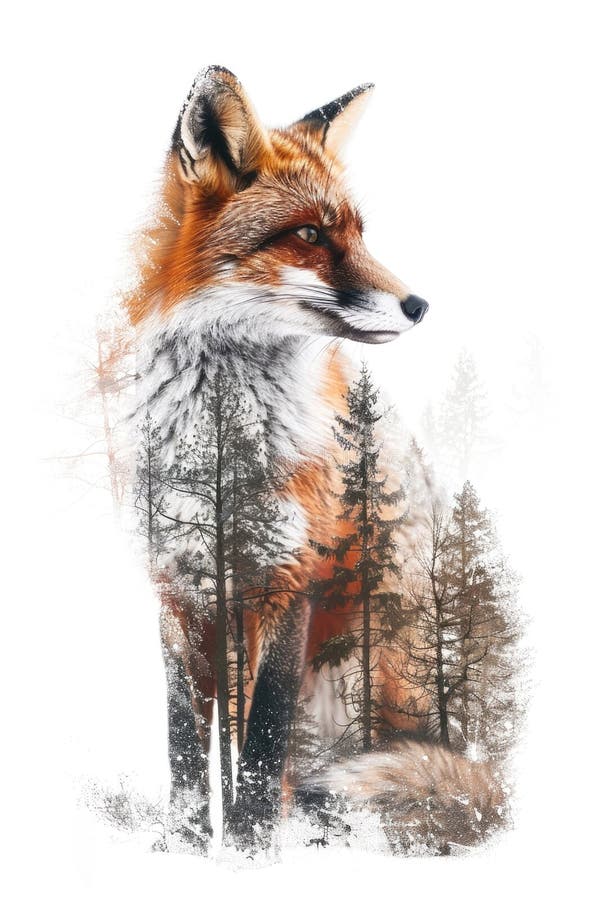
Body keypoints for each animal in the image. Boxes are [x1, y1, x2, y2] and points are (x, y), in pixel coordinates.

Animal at [118, 66, 501, 853]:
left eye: (357, 232)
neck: (224, 449)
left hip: (363, 668)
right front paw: (185, 845)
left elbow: (264, 738)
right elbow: (184, 743)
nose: (419, 304)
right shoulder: (176, 584)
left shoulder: (289, 576)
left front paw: (250, 850)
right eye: (308, 235)